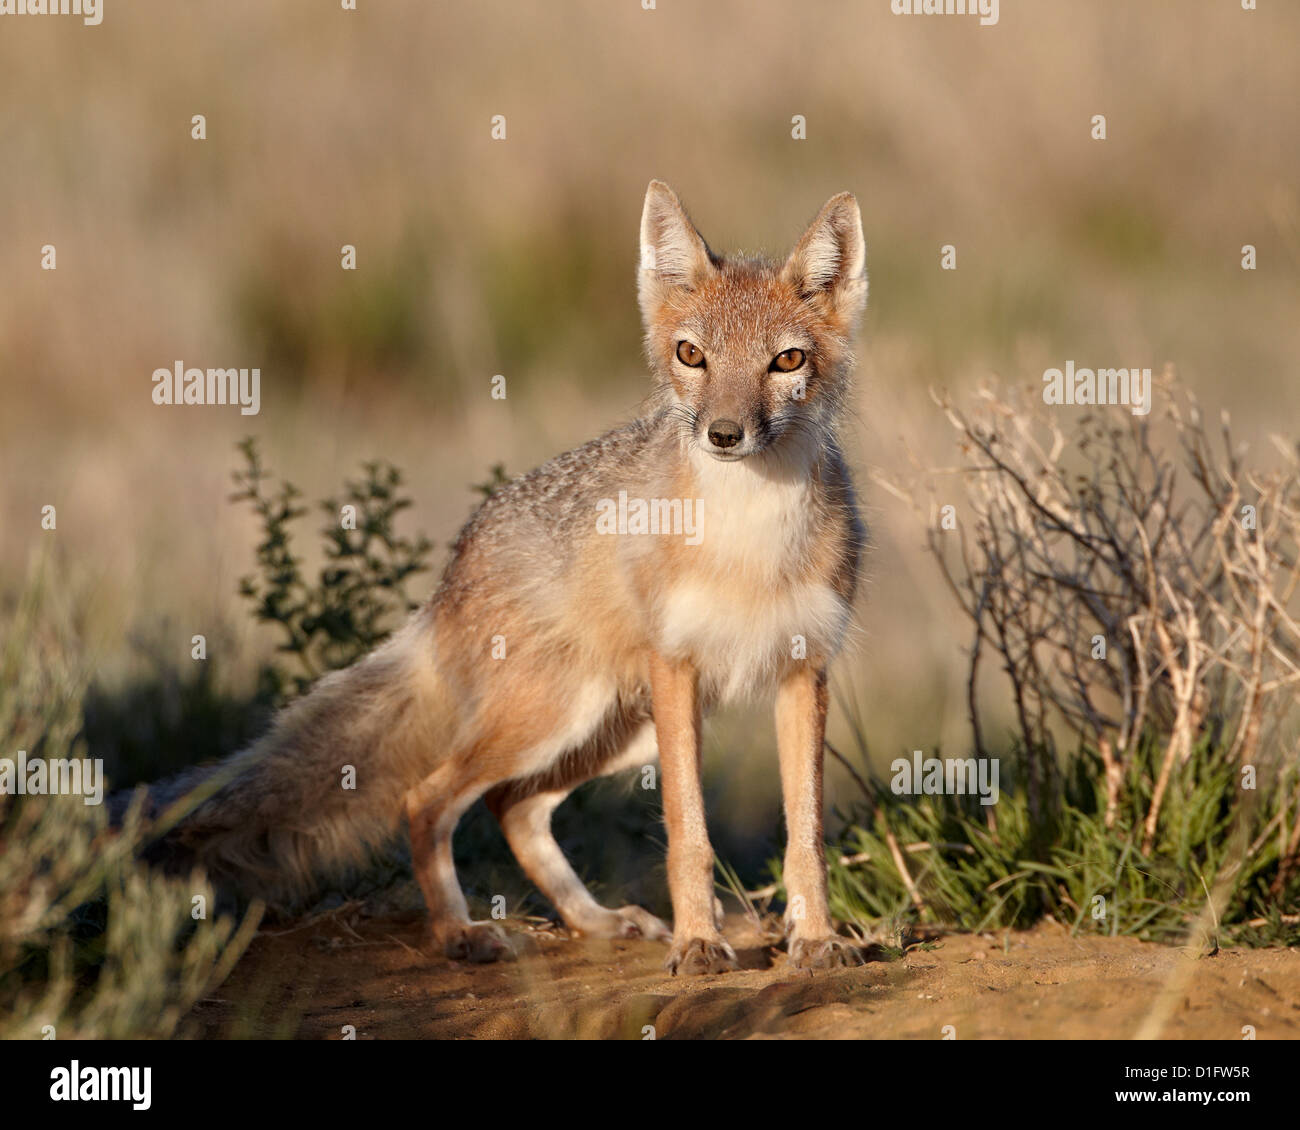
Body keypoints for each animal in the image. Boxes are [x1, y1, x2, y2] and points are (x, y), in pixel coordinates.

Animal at [149, 181, 869, 975]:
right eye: (692, 355)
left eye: (786, 360)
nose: (724, 434)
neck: (751, 544)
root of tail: (450, 572)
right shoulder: (676, 668)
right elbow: (689, 832)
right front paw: (699, 942)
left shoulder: (804, 669)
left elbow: (805, 837)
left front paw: (814, 939)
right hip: (559, 718)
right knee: (427, 800)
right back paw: (459, 933)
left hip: (613, 730)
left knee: (514, 808)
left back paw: (595, 920)